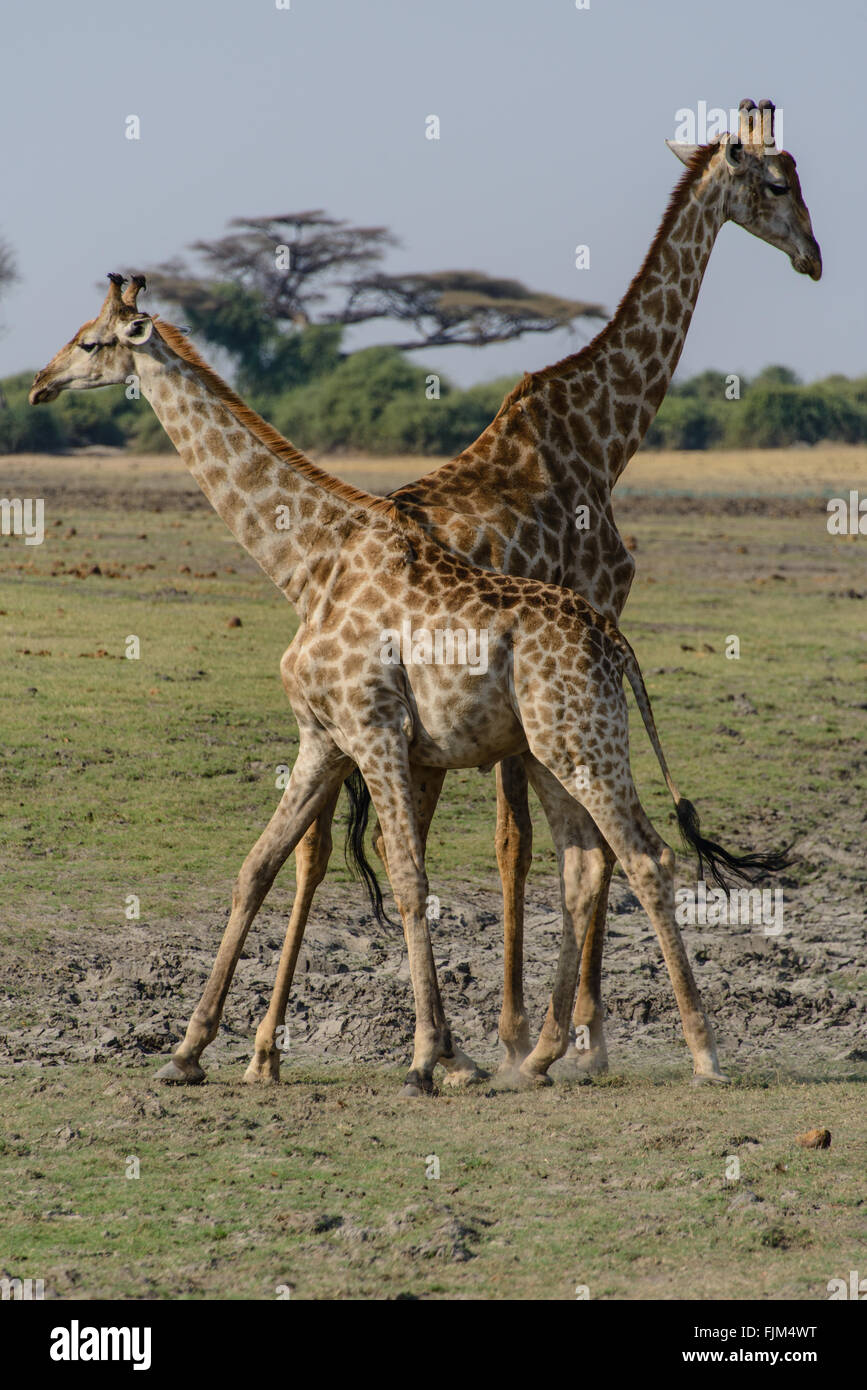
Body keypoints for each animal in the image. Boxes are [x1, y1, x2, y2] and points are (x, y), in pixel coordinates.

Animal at [29, 276, 789, 1092]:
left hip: (583, 744)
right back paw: (542, 1056)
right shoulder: (322, 738)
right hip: (554, 750)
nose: (39, 385)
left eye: (89, 341)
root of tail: (613, 641)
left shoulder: (376, 730)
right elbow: (257, 867)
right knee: (585, 864)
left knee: (647, 857)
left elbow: (406, 879)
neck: (308, 561)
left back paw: (702, 1054)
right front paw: (186, 1052)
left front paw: (429, 1058)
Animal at [252, 97, 821, 1085]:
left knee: (317, 844)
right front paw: (565, 1037)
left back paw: (263, 1051)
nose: (814, 258)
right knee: (350, 840)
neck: (605, 432)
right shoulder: (590, 618)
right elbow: (552, 847)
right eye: (780, 182)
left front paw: (539, 1035)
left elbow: (543, 843)